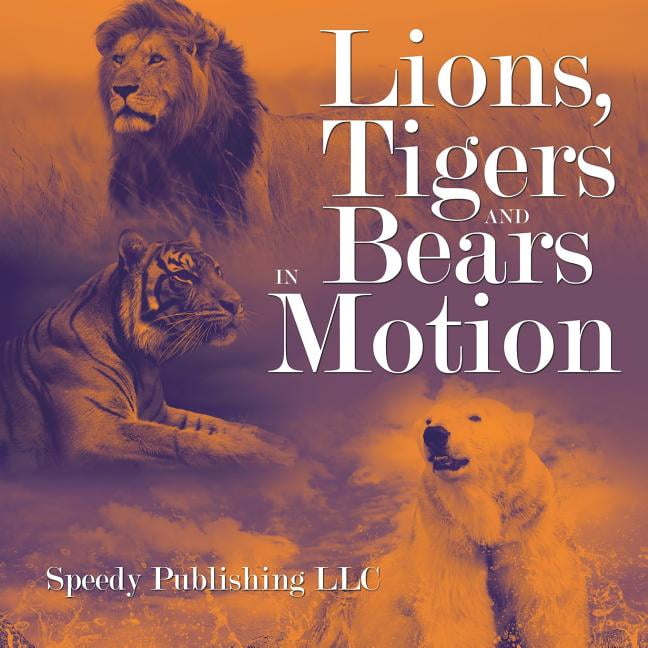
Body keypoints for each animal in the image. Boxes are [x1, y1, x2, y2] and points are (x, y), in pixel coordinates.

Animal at [0, 228, 294, 469]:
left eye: (218, 271)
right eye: (184, 276)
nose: (236, 303)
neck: (142, 360)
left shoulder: (159, 412)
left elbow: (213, 423)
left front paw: (275, 441)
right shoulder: (96, 430)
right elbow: (183, 442)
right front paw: (265, 456)